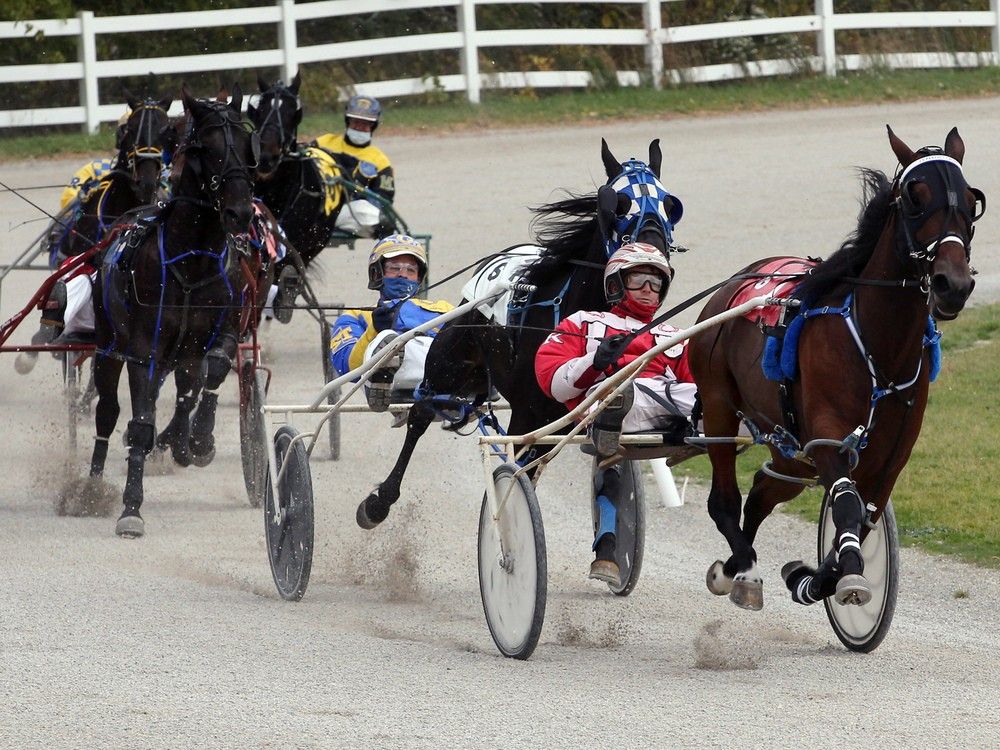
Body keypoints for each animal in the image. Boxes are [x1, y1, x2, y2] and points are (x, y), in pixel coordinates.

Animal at [88, 84, 267, 538]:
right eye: (206, 147)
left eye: (247, 145)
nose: (240, 212)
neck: (192, 260)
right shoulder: (143, 350)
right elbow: (139, 424)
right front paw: (131, 508)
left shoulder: (219, 329)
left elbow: (208, 373)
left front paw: (196, 441)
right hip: (107, 345)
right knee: (107, 411)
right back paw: (91, 486)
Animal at [356, 138, 685, 529]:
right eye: (616, 204)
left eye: (670, 205)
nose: (651, 255)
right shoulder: (528, 413)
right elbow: (517, 475)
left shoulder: (559, 425)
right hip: (449, 358)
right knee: (421, 411)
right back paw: (379, 502)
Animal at [687, 126, 982, 611]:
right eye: (915, 196)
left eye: (972, 200)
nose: (952, 284)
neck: (880, 349)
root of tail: (731, 288)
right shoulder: (827, 437)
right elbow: (845, 503)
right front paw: (848, 577)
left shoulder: (891, 456)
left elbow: (863, 518)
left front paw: (810, 577)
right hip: (718, 406)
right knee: (724, 502)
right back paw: (742, 569)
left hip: (790, 452)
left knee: (763, 493)